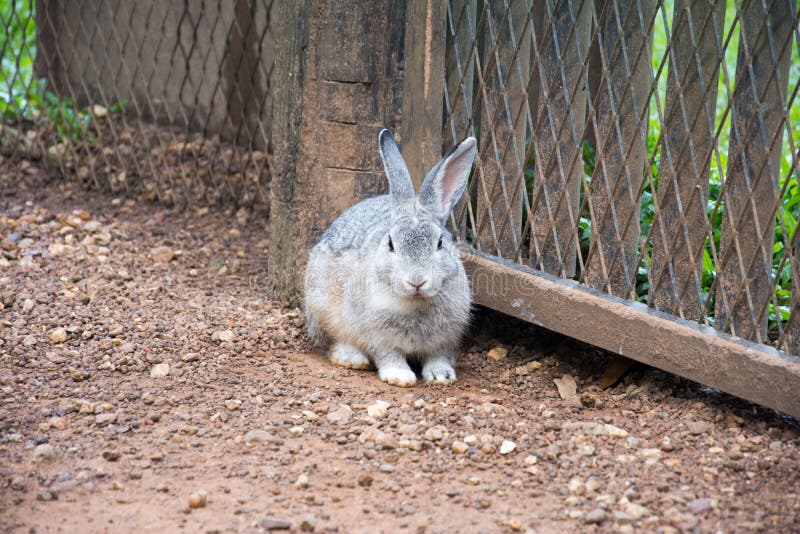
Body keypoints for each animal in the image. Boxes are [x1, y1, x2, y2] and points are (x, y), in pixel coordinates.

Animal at [303, 129, 477, 386]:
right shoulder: (375, 333)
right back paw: (352, 358)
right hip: (321, 307)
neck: (416, 302)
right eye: (391, 244)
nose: (417, 281)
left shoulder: (445, 337)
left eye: (440, 243)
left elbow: (437, 355)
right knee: (331, 340)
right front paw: (400, 377)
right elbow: (388, 354)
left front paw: (441, 376)